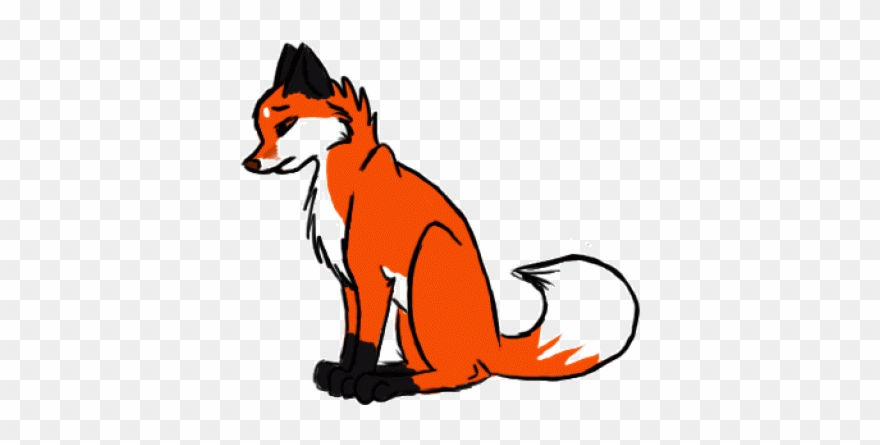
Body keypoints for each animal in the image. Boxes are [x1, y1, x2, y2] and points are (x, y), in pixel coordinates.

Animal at [242, 43, 640, 404]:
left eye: (286, 123)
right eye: (260, 126)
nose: (249, 163)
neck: (346, 185)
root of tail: (493, 344)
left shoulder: (372, 278)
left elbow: (366, 343)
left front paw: (354, 381)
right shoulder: (351, 282)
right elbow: (352, 338)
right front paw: (341, 373)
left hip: (429, 260)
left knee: (466, 373)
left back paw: (382, 384)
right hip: (407, 318)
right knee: (434, 366)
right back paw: (392, 372)